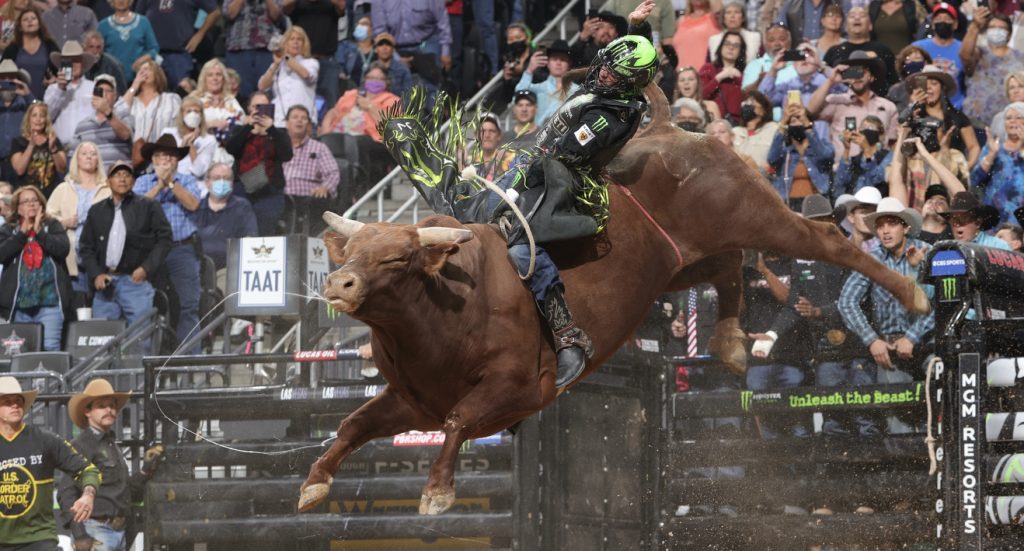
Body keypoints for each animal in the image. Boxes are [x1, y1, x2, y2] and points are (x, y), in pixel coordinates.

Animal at [297, 81, 929, 516]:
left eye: (398, 258)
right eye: (351, 253)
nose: (339, 283)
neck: (450, 305)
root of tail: (670, 129)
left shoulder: (517, 388)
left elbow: (458, 420)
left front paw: (435, 493)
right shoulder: (412, 402)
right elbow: (353, 424)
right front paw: (313, 483)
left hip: (753, 211)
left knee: (822, 243)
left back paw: (914, 295)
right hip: (677, 264)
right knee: (728, 269)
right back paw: (730, 343)